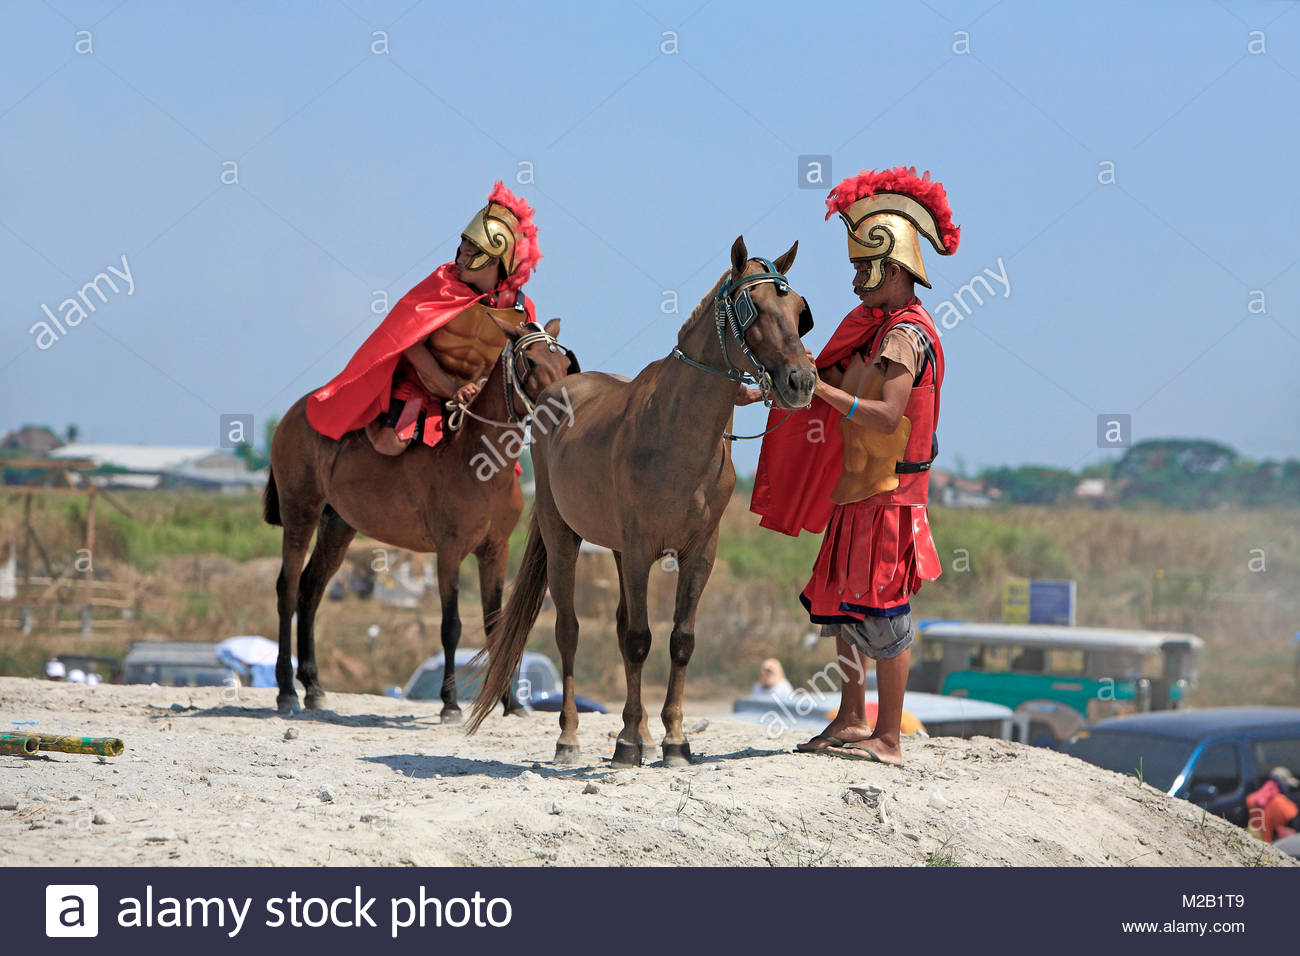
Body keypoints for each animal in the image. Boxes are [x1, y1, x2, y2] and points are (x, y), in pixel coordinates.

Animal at [262, 318, 579, 717]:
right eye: (531, 361)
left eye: (565, 363)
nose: (562, 408)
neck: (478, 457)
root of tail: (295, 414)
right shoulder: (449, 550)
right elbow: (451, 625)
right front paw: (450, 703)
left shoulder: (496, 550)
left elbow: (494, 624)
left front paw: (509, 702)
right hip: (300, 513)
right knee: (287, 589)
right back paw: (287, 690)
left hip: (337, 526)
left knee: (311, 589)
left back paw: (314, 687)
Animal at [468, 236, 816, 767]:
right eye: (751, 306)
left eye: (798, 310)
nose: (802, 381)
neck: (679, 432)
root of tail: (557, 391)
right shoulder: (638, 549)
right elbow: (638, 640)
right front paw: (629, 743)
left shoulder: (699, 552)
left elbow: (679, 639)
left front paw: (671, 739)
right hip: (564, 535)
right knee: (569, 630)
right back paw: (570, 737)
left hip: (612, 547)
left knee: (617, 625)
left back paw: (640, 731)